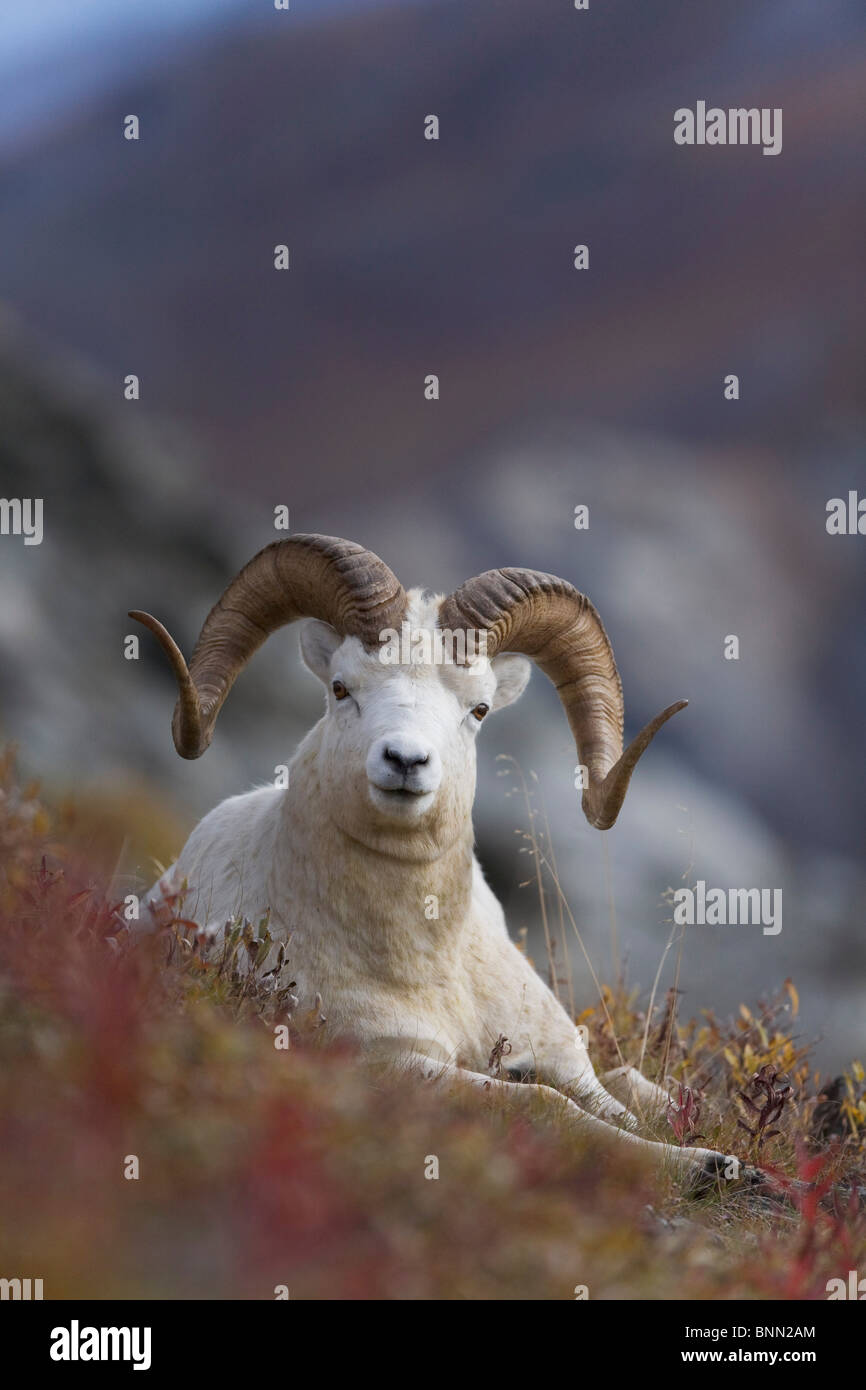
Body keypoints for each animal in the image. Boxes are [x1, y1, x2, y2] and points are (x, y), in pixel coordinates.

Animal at [132, 533, 751, 1190]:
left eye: (479, 709)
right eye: (341, 687)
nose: (406, 761)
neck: (431, 966)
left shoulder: (562, 1055)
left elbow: (626, 1099)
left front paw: (724, 1163)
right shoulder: (404, 1063)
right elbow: (549, 1104)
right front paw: (706, 1168)